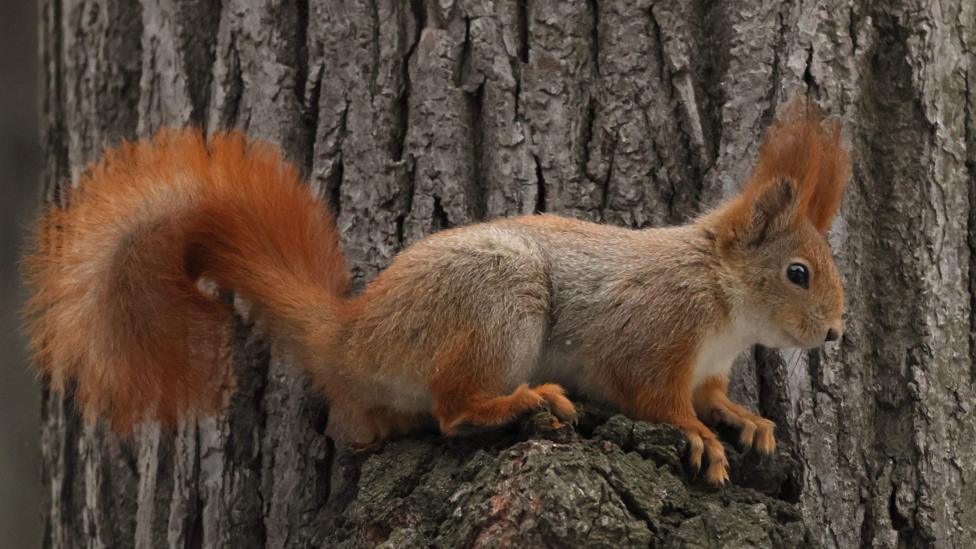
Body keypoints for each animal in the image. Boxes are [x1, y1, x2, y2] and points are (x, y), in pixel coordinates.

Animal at [23, 98, 850, 486]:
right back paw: (518, 401)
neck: (723, 302)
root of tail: (350, 333)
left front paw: (746, 419)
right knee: (454, 410)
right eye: (798, 272)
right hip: (498, 303)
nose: (837, 331)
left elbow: (711, 395)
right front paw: (700, 435)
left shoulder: (705, 361)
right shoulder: (653, 328)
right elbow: (653, 395)